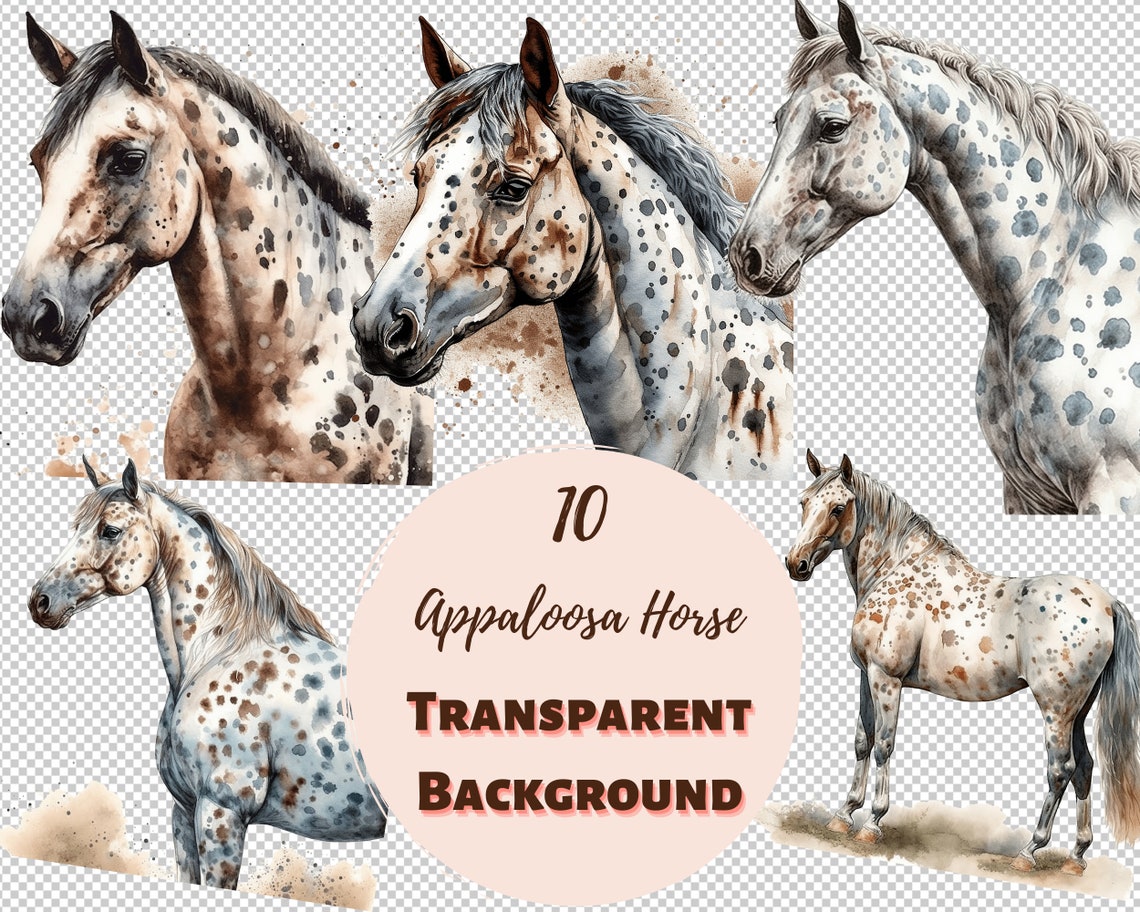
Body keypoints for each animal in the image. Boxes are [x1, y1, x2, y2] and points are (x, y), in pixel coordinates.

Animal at [27, 458, 386, 889]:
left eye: (109, 530)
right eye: (76, 527)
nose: (40, 602)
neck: (217, 654)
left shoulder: (221, 812)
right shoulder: (184, 811)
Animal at [730, 0, 1140, 512]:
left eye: (833, 126)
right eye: (778, 120)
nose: (746, 256)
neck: (1055, 279)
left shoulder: (1111, 491)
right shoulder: (1026, 495)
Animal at [785, 449, 1140, 873]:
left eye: (838, 507)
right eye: (804, 502)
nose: (796, 564)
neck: (893, 568)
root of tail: (1108, 604)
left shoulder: (886, 678)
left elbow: (884, 744)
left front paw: (872, 823)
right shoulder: (865, 675)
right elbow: (862, 741)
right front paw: (843, 815)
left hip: (1056, 708)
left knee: (1061, 771)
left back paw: (1029, 852)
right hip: (1078, 710)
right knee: (1084, 768)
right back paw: (1076, 856)